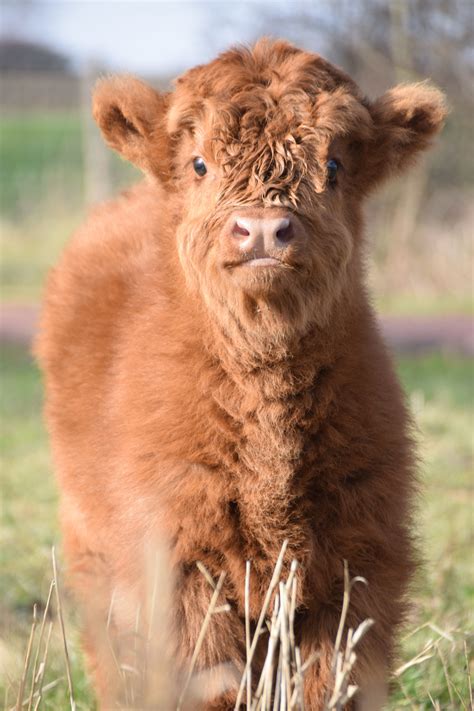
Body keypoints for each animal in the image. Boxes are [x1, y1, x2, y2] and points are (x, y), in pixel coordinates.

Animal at [36, 38, 446, 709]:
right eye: (200, 164)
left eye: (334, 164)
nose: (261, 229)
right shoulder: (181, 569)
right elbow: (214, 683)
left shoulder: (359, 564)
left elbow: (329, 682)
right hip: (91, 545)